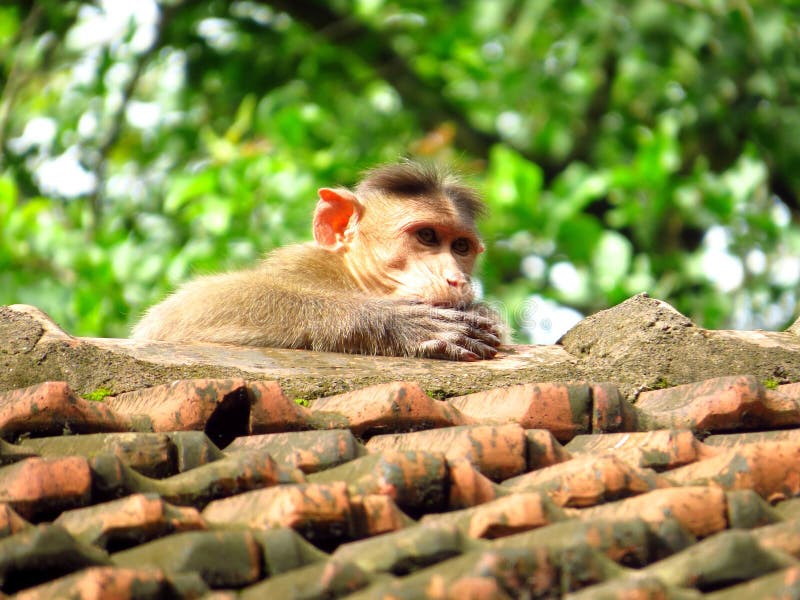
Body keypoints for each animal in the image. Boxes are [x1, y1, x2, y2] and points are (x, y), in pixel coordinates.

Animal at [132, 162, 505, 361]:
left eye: (460, 247)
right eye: (426, 236)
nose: (457, 278)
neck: (350, 276)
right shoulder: (302, 264)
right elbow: (181, 312)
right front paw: (400, 323)